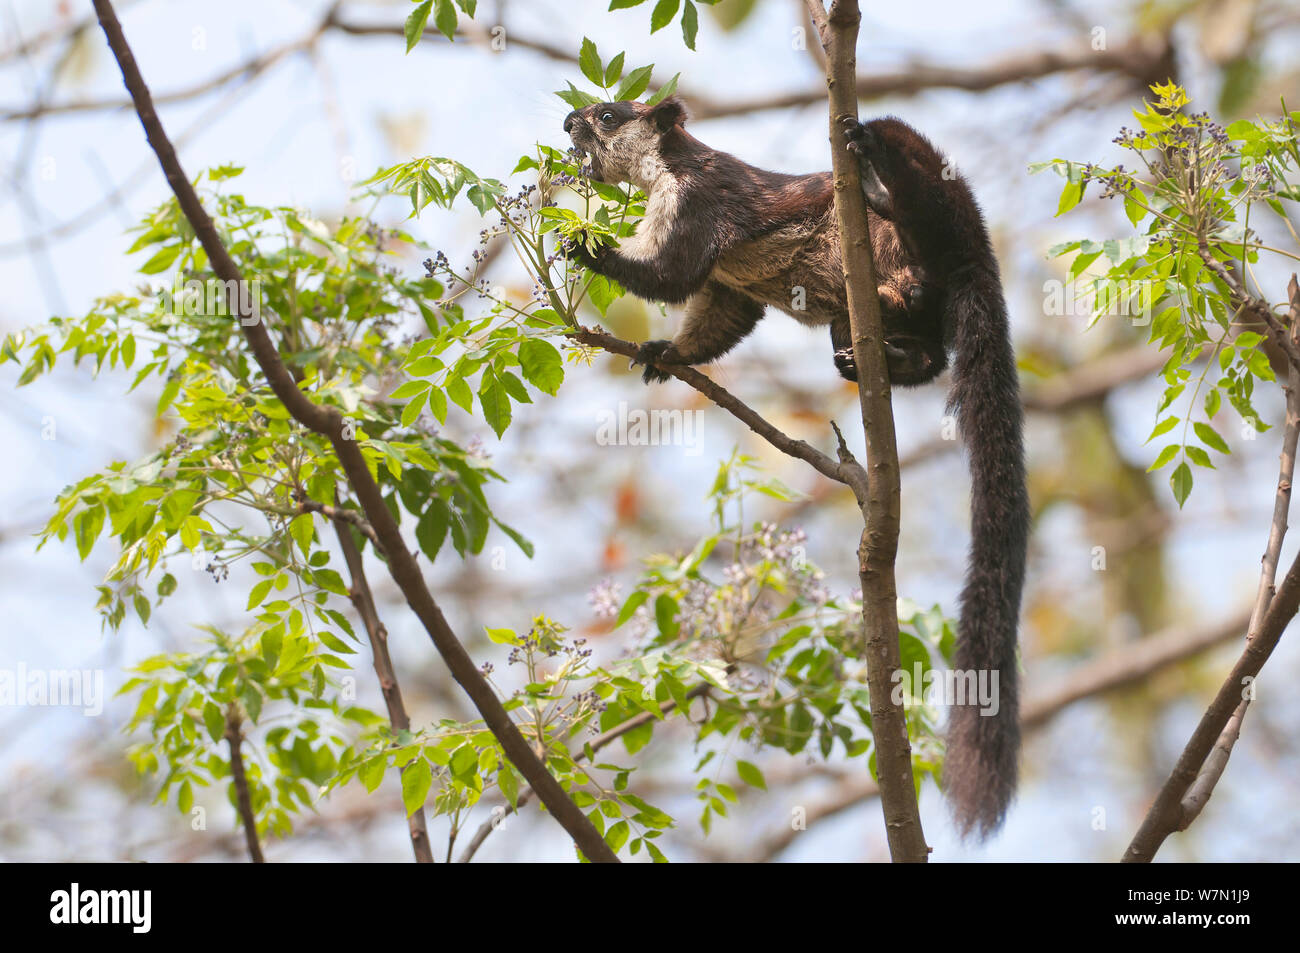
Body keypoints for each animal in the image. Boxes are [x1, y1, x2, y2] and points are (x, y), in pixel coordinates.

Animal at [563, 96, 1028, 839]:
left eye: (609, 114)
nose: (567, 124)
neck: (664, 171)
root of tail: (978, 264)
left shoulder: (701, 206)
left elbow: (670, 275)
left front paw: (586, 246)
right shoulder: (728, 289)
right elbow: (719, 316)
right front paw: (663, 352)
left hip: (932, 206)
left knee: (915, 203)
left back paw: (872, 170)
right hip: (856, 319)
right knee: (930, 355)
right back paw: (880, 350)